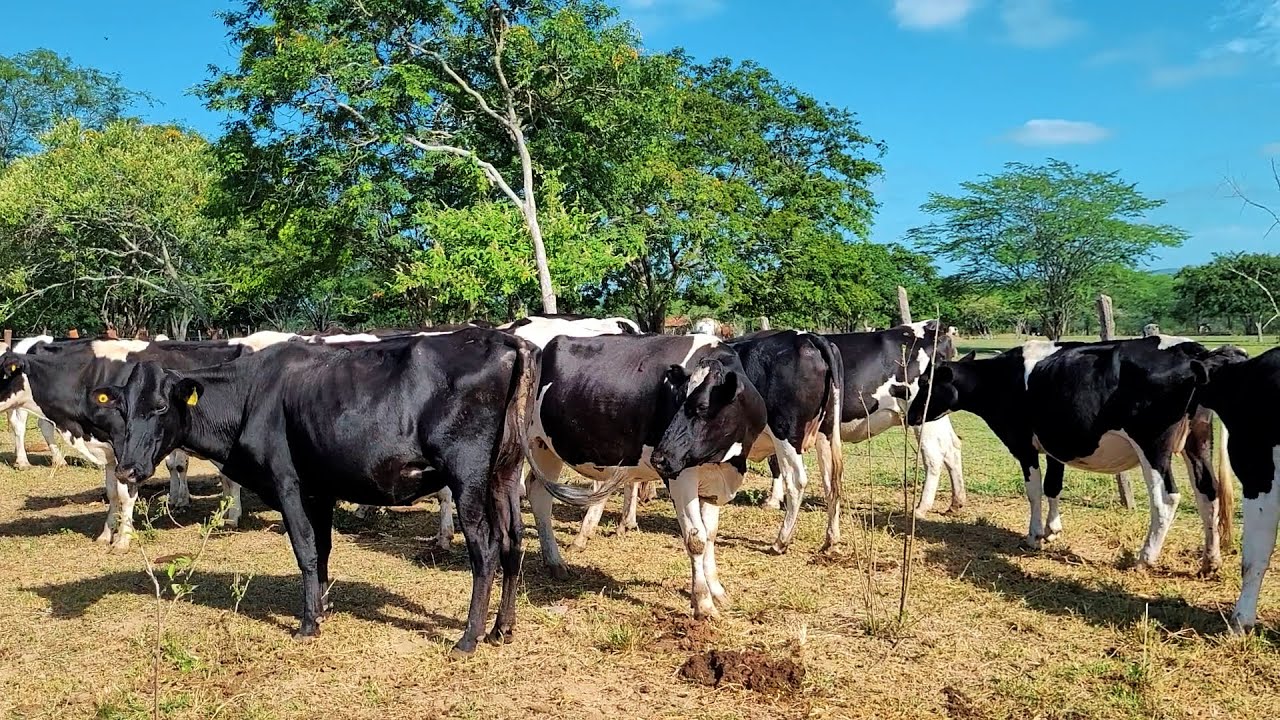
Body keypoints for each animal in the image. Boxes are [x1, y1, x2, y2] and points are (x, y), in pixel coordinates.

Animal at [0, 339, 253, 549]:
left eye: (1, 373)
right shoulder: (110, 453)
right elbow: (112, 492)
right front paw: (106, 534)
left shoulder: (126, 448)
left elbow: (126, 494)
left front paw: (123, 539)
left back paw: (232, 516)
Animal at [90, 329, 539, 656]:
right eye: (123, 409)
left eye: (161, 407)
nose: (128, 467)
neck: (249, 395)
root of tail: (505, 340)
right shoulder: (320, 489)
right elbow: (322, 549)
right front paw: (324, 607)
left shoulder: (287, 484)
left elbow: (304, 550)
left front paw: (308, 623)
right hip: (503, 473)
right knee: (513, 540)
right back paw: (502, 628)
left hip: (468, 475)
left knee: (485, 548)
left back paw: (469, 637)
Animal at [525, 333, 768, 619]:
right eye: (677, 401)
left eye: (702, 407)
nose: (661, 458)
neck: (728, 460)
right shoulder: (681, 477)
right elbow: (695, 538)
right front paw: (703, 603)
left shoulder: (714, 480)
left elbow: (709, 535)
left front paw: (717, 591)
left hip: (545, 447)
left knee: (539, 494)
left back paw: (555, 563)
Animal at [761, 321, 966, 528]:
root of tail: (934, 326)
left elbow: (775, 462)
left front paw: (773, 500)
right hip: (936, 414)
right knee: (952, 446)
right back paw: (956, 502)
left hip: (922, 414)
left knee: (933, 455)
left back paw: (921, 507)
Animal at [907, 336, 1239, 573]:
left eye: (925, 383)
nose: (911, 416)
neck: (1001, 379)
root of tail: (1193, 350)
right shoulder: (1056, 444)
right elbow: (1053, 486)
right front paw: (1053, 531)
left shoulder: (1023, 444)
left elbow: (1034, 490)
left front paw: (1034, 536)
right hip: (1198, 440)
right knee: (1208, 492)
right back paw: (1210, 561)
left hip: (1153, 445)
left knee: (1166, 498)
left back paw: (1145, 558)